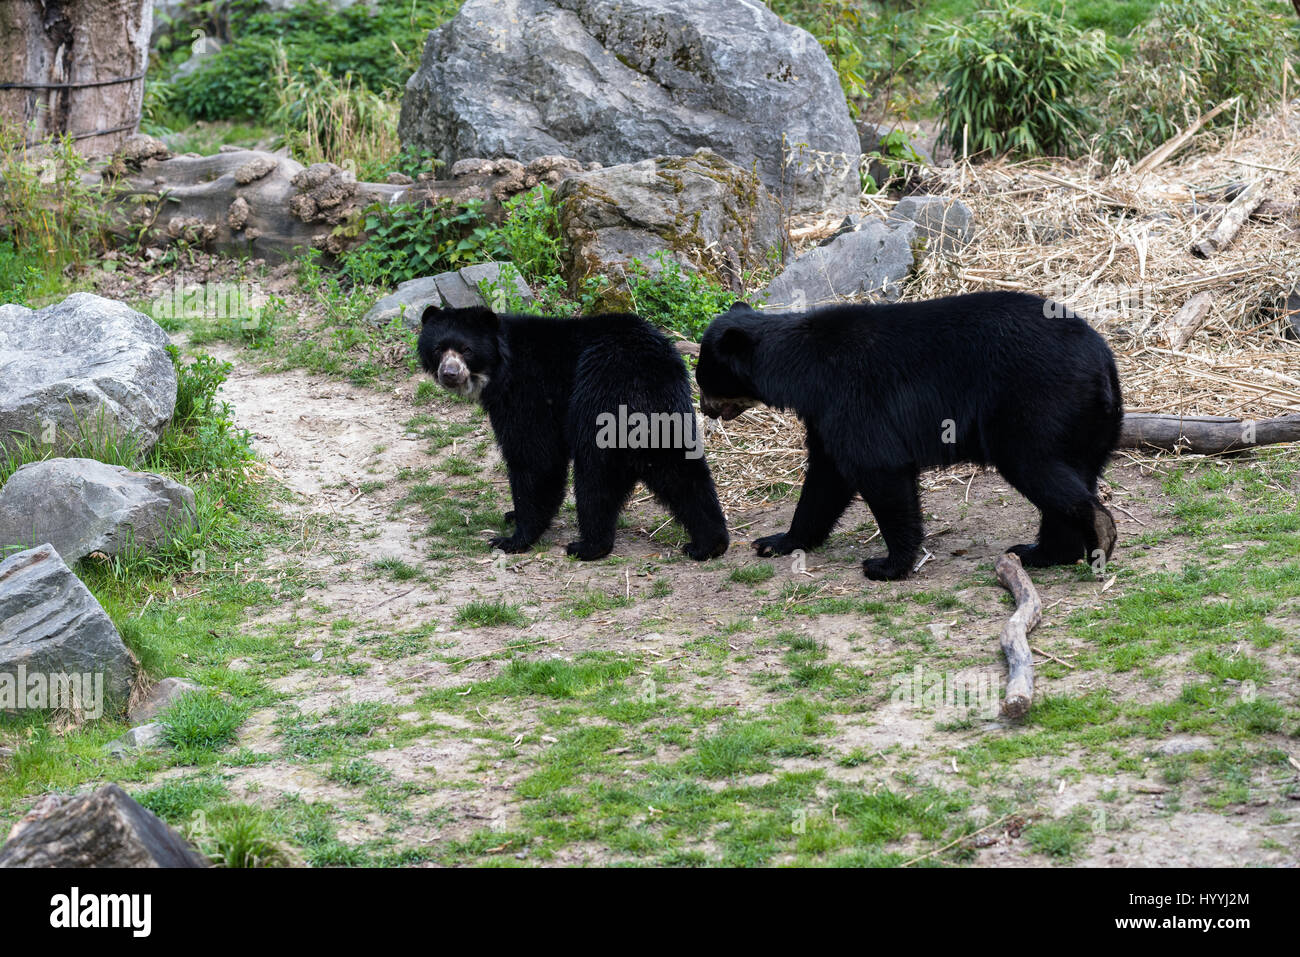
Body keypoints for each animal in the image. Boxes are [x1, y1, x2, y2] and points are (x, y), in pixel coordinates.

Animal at [418, 304, 729, 562]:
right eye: (438, 349)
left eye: (466, 350)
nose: (449, 374)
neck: (500, 369)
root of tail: (648, 370)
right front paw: (511, 515)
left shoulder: (528, 392)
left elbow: (534, 457)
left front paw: (513, 538)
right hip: (666, 417)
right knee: (681, 472)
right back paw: (708, 544)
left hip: (599, 401)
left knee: (594, 477)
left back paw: (588, 546)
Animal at [695, 291, 1122, 580]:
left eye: (703, 380)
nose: (704, 409)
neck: (801, 370)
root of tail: (1103, 360)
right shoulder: (824, 412)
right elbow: (825, 478)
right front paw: (776, 541)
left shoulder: (850, 395)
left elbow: (876, 466)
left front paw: (886, 565)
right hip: (1088, 423)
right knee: (1072, 473)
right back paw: (1041, 552)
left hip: (1035, 401)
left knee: (1035, 465)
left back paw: (1097, 533)